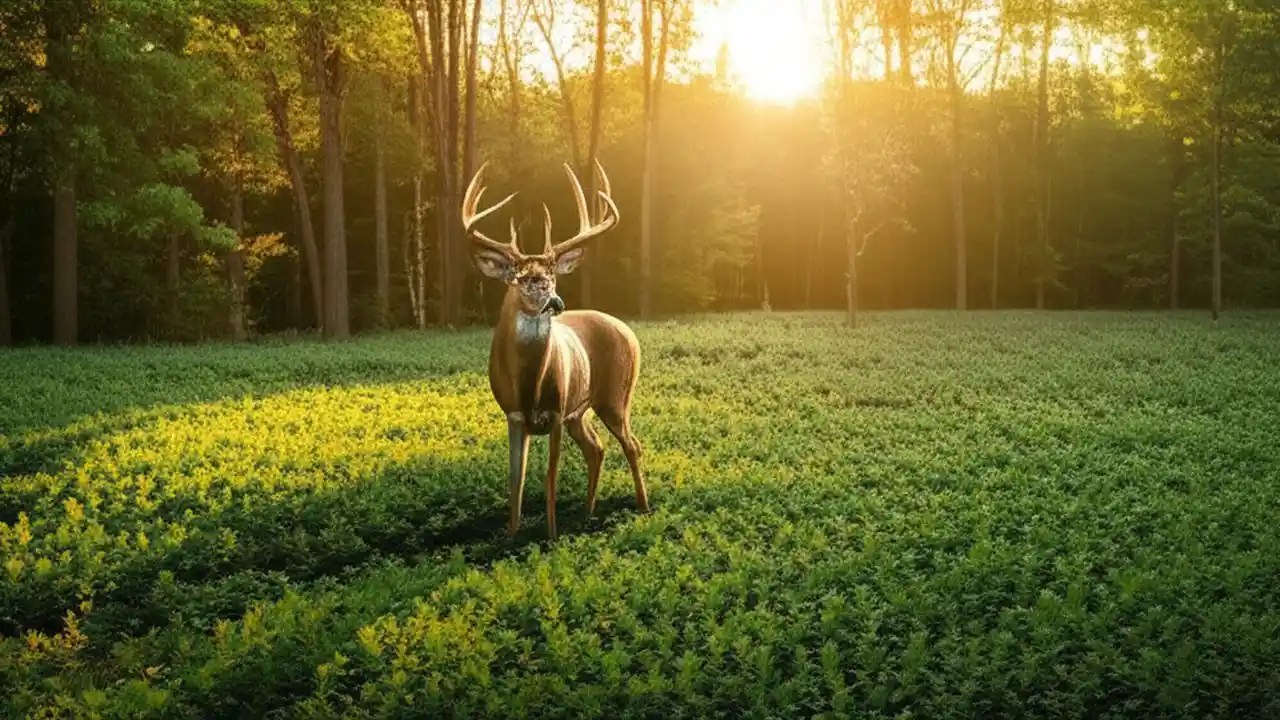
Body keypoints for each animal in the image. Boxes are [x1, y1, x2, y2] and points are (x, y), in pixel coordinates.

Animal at [461, 160, 649, 540]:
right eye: (524, 279)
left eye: (553, 277)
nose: (555, 301)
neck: (529, 385)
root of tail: (629, 331)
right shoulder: (514, 415)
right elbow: (515, 479)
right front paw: (511, 536)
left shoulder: (558, 411)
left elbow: (550, 477)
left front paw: (550, 535)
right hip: (582, 412)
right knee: (597, 449)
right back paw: (587, 514)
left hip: (615, 397)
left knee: (631, 444)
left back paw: (642, 506)